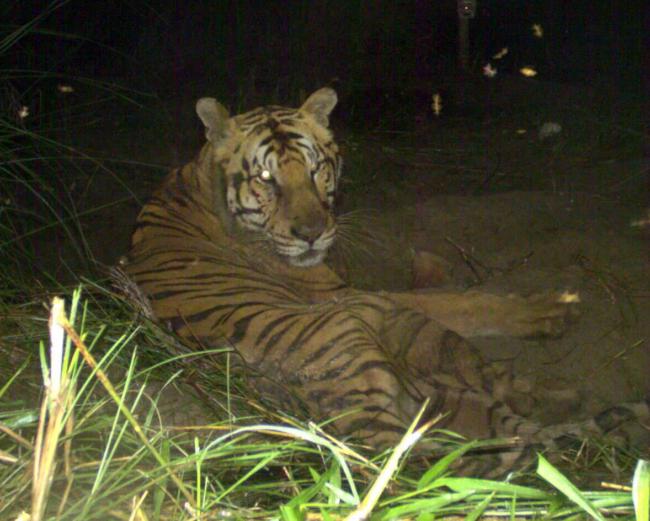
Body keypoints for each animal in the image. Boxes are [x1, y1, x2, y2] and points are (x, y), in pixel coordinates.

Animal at [121, 88, 649, 475]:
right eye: (267, 178)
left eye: (315, 169)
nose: (312, 233)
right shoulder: (357, 293)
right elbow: (465, 300)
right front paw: (552, 308)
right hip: (396, 328)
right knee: (514, 391)